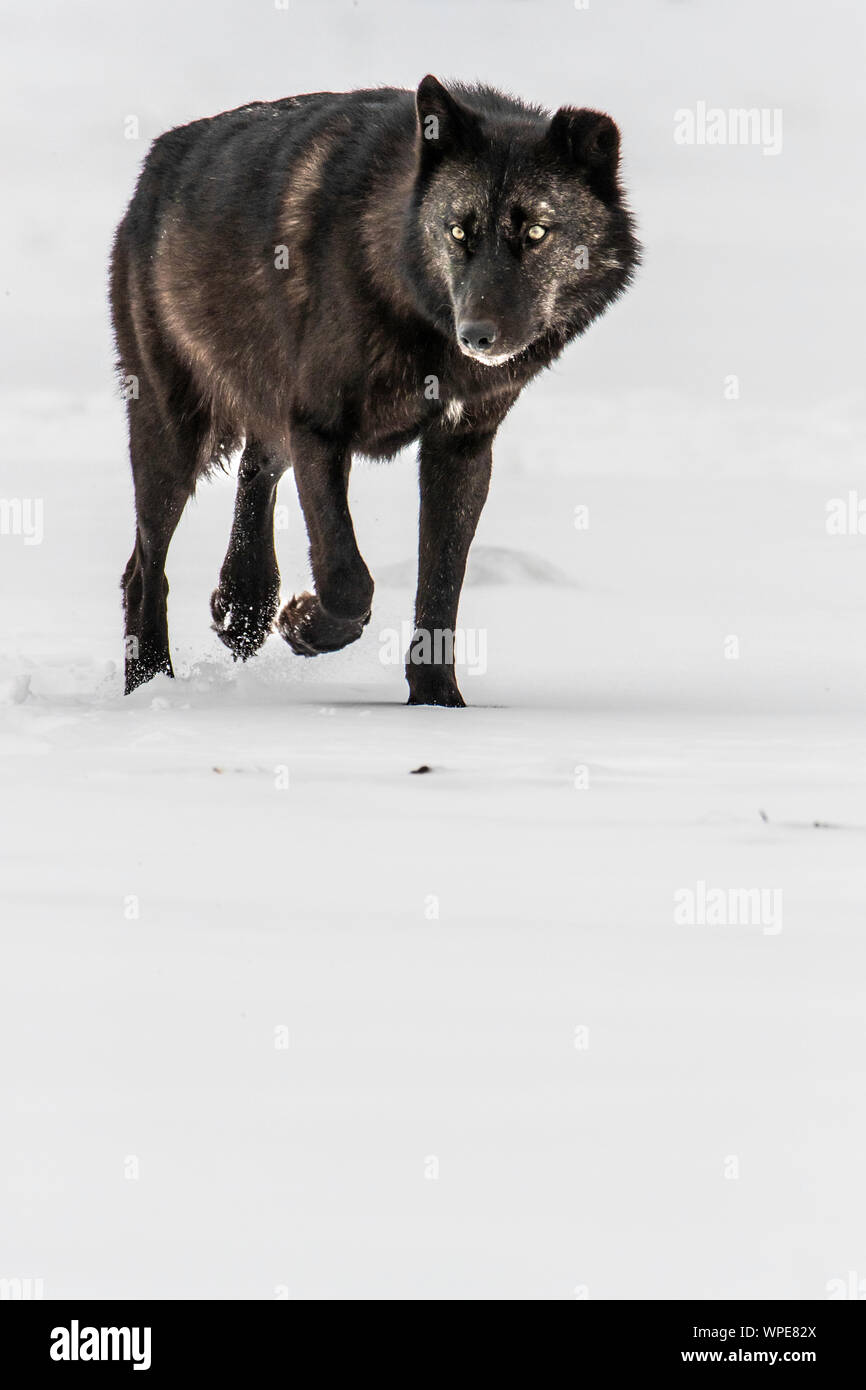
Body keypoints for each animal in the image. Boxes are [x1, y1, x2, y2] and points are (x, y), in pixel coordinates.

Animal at [110, 76, 638, 704]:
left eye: (535, 231)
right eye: (458, 231)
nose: (477, 335)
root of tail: (155, 162)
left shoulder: (461, 449)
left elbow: (441, 588)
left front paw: (436, 700)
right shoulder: (318, 429)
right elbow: (346, 579)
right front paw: (306, 628)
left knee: (254, 467)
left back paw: (243, 608)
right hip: (173, 436)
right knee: (144, 567)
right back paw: (150, 684)